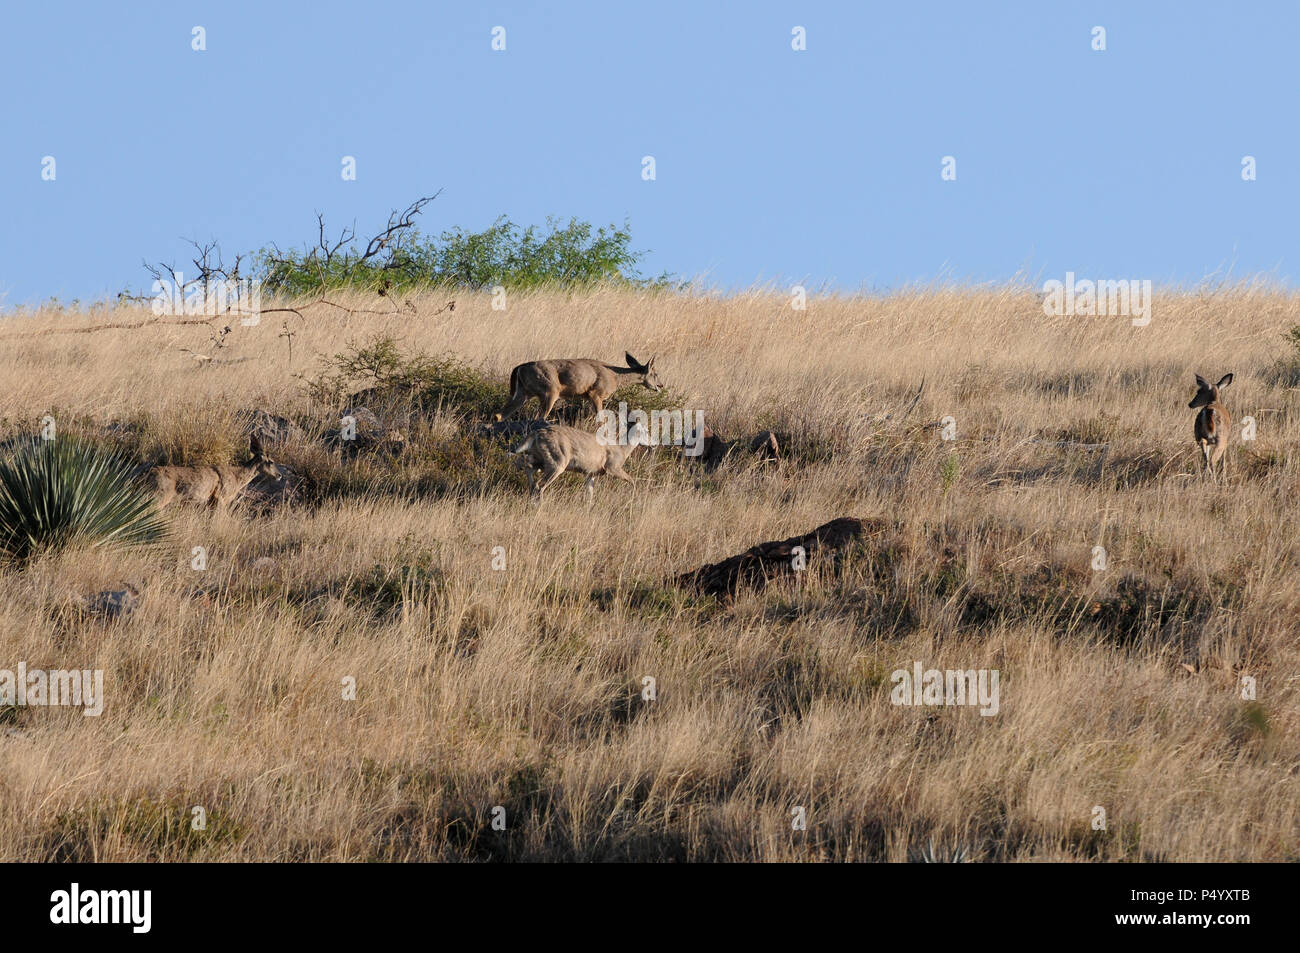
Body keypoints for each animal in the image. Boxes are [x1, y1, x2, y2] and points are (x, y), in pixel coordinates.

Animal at [146, 434, 282, 510]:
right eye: (271, 462)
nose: (279, 475)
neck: (236, 477)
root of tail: (148, 475)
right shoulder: (221, 497)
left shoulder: (210, 501)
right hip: (159, 495)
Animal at [493, 353, 663, 422]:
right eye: (655, 373)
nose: (660, 386)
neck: (615, 376)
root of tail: (519, 367)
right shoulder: (596, 393)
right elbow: (601, 419)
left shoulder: (587, 397)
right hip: (550, 391)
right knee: (537, 418)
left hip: (524, 392)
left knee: (499, 415)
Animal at [510, 420, 652, 500]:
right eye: (646, 431)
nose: (653, 443)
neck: (622, 450)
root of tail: (537, 433)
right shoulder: (612, 466)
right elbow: (632, 481)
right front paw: (635, 497)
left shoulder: (591, 473)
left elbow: (589, 494)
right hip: (557, 461)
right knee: (540, 485)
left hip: (538, 457)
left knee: (524, 464)